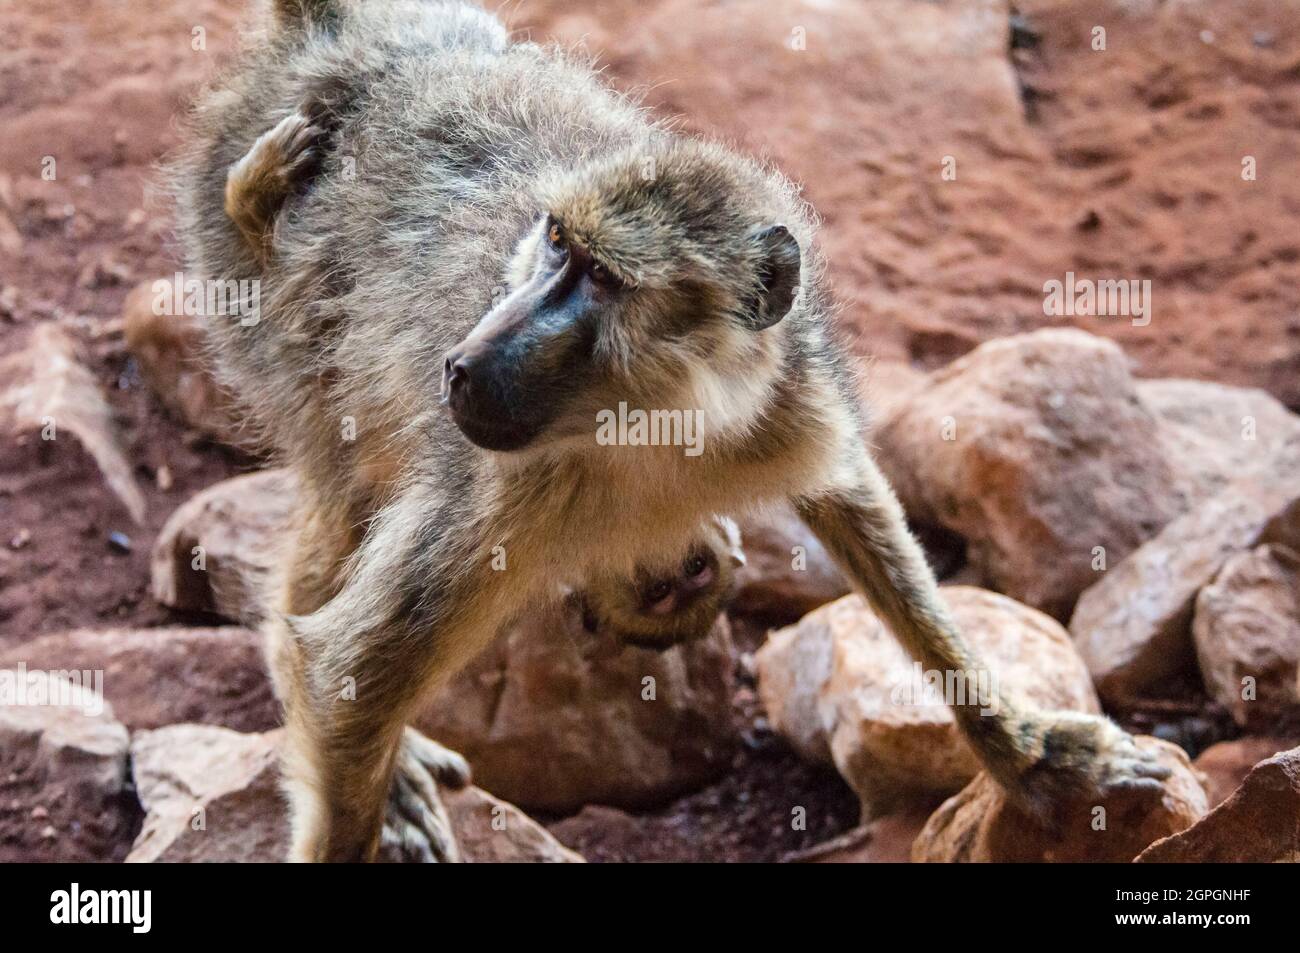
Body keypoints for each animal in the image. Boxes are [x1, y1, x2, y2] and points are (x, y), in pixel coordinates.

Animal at [173, 0, 1169, 862]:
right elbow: (352, 671)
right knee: (347, 497)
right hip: (263, 301)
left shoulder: (787, 402)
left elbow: (855, 506)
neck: (661, 416)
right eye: (556, 245)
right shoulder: (502, 485)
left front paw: (1029, 751)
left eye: (603, 279)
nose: (461, 366)